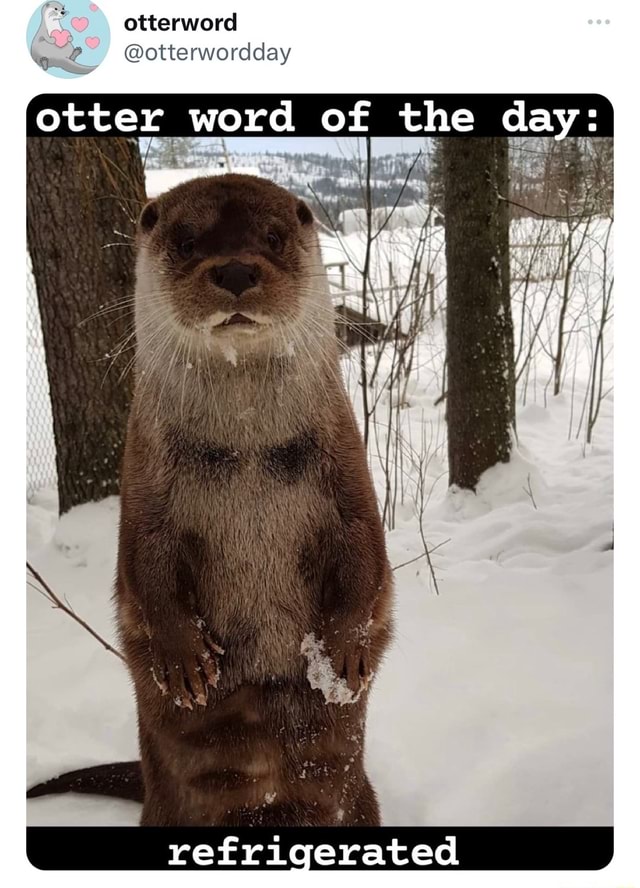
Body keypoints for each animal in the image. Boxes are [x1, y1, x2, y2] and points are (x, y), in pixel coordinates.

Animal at [28, 174, 393, 827]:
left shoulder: (348, 474)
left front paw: (340, 658)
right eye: (187, 240)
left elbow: (367, 556)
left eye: (272, 237)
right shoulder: (144, 486)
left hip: (361, 806)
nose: (236, 269)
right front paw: (183, 659)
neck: (245, 449)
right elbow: (145, 568)